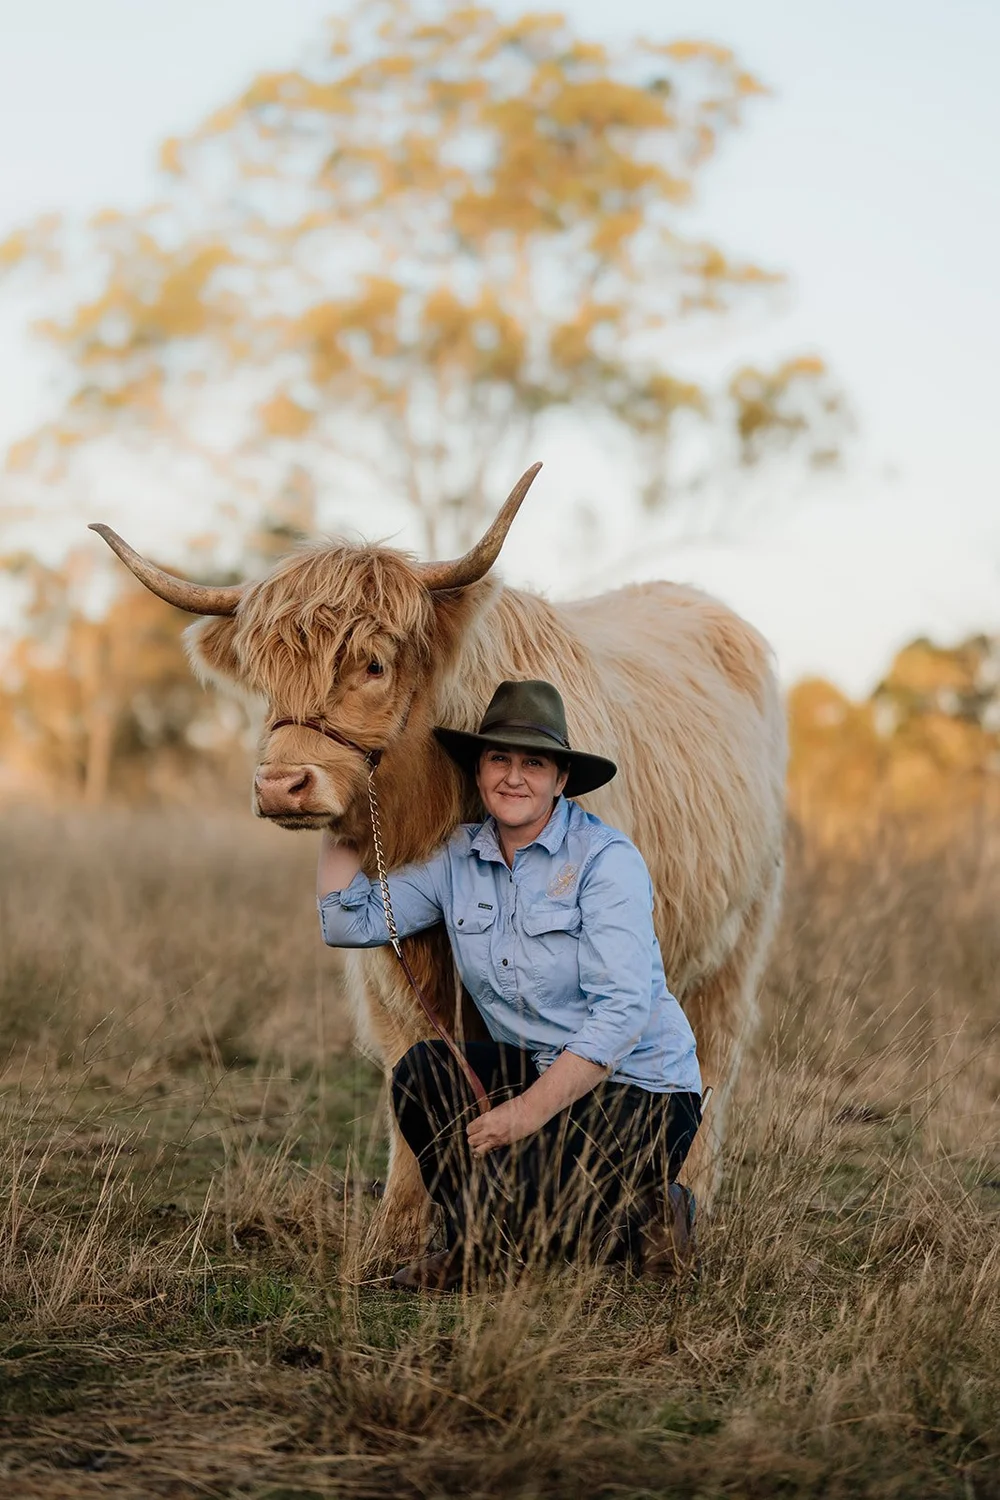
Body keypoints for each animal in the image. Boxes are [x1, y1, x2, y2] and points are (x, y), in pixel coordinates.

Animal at [91, 464, 786, 1252]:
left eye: (373, 663)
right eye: (265, 677)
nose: (281, 785)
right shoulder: (391, 972)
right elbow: (411, 1079)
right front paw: (396, 1231)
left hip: (740, 940)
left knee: (711, 1055)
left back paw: (685, 1204)